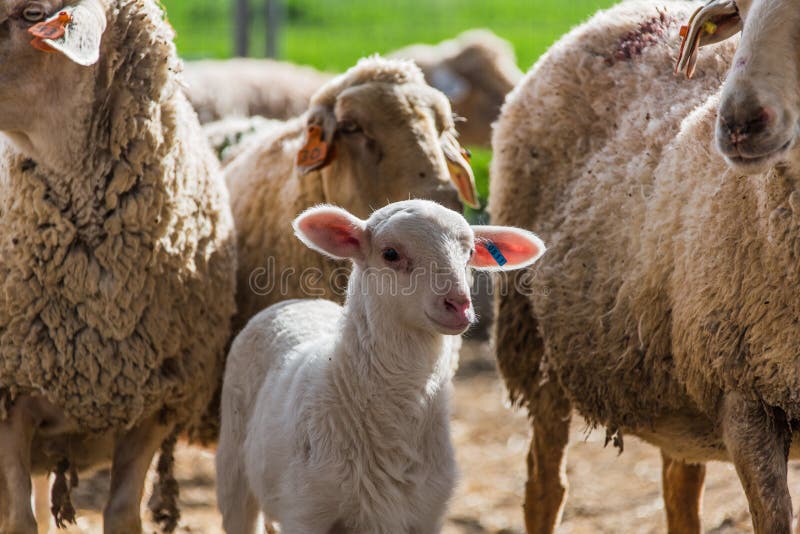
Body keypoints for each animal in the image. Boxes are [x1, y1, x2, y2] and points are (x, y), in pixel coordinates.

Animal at [216, 199, 545, 534]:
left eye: (468, 254)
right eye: (390, 254)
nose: (458, 304)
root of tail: (299, 302)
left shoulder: (426, 514)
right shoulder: (306, 512)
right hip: (233, 470)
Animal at [489, 0, 800, 532]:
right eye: (739, 12)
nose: (737, 123)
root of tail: (608, 14)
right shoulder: (744, 398)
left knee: (679, 489)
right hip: (539, 347)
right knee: (544, 488)